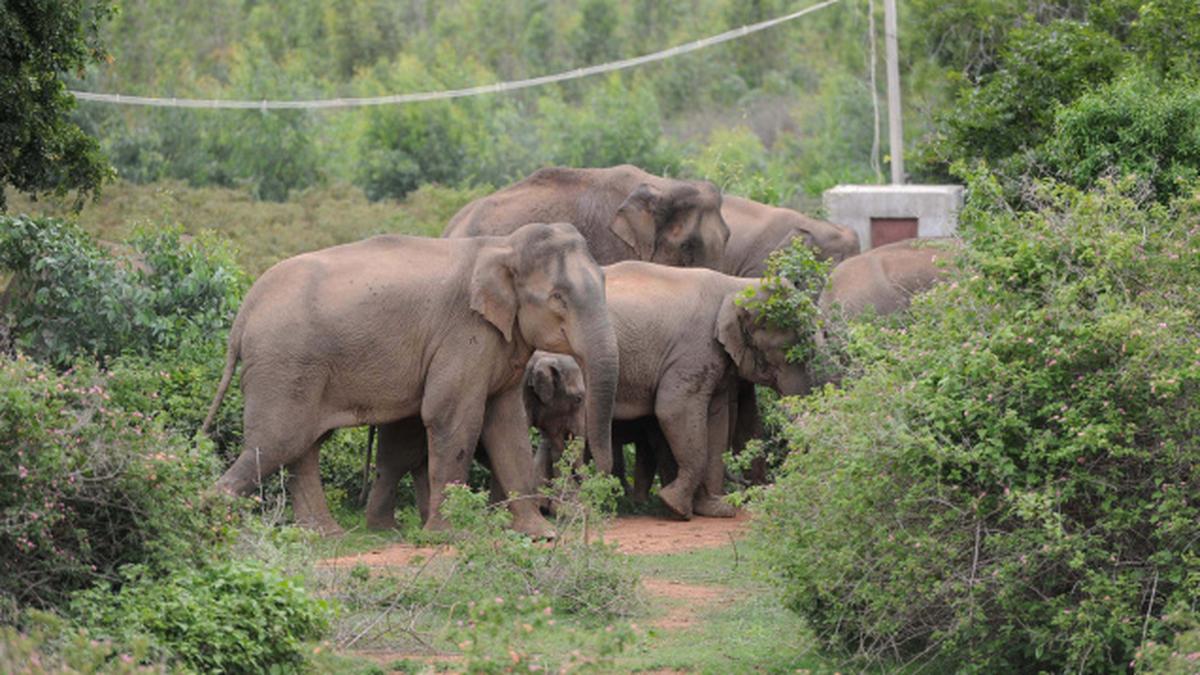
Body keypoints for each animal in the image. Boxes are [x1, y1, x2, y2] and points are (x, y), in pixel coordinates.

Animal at [202, 222, 619, 538]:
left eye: (603, 281)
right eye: (558, 298)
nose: (602, 485)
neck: (503, 246)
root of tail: (245, 308)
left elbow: (507, 425)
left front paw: (540, 535)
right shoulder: (463, 333)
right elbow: (451, 416)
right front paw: (450, 536)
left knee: (303, 446)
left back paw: (324, 535)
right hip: (285, 362)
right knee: (276, 443)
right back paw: (215, 519)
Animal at [601, 262, 811, 519]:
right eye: (787, 350)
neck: (737, 285)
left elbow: (717, 422)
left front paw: (715, 509)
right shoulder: (694, 349)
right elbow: (674, 409)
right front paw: (676, 507)